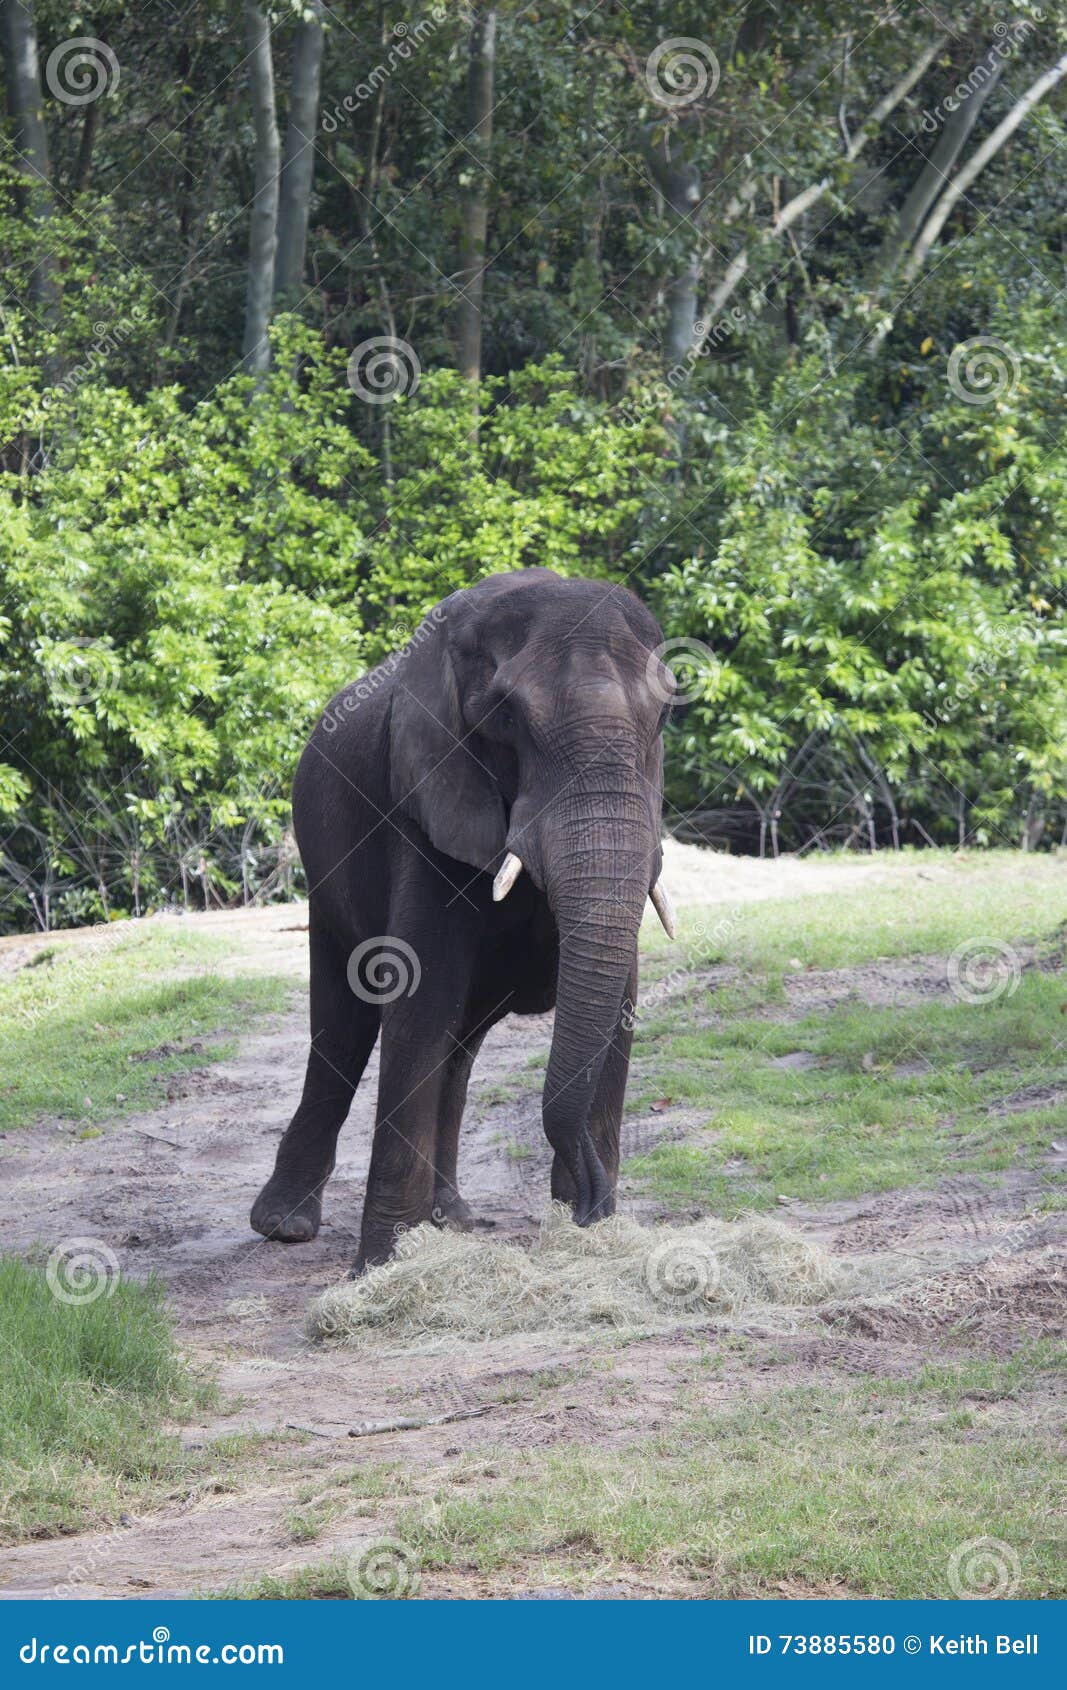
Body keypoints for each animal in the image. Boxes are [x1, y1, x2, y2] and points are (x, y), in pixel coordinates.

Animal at [250, 567, 676, 1270]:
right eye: (505, 716)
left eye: (666, 713)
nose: (589, 1203)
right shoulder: (423, 802)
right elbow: (418, 999)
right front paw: (386, 1267)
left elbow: (621, 1003)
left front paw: (589, 1244)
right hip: (323, 873)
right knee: (342, 1030)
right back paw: (285, 1226)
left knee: (460, 1045)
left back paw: (451, 1220)